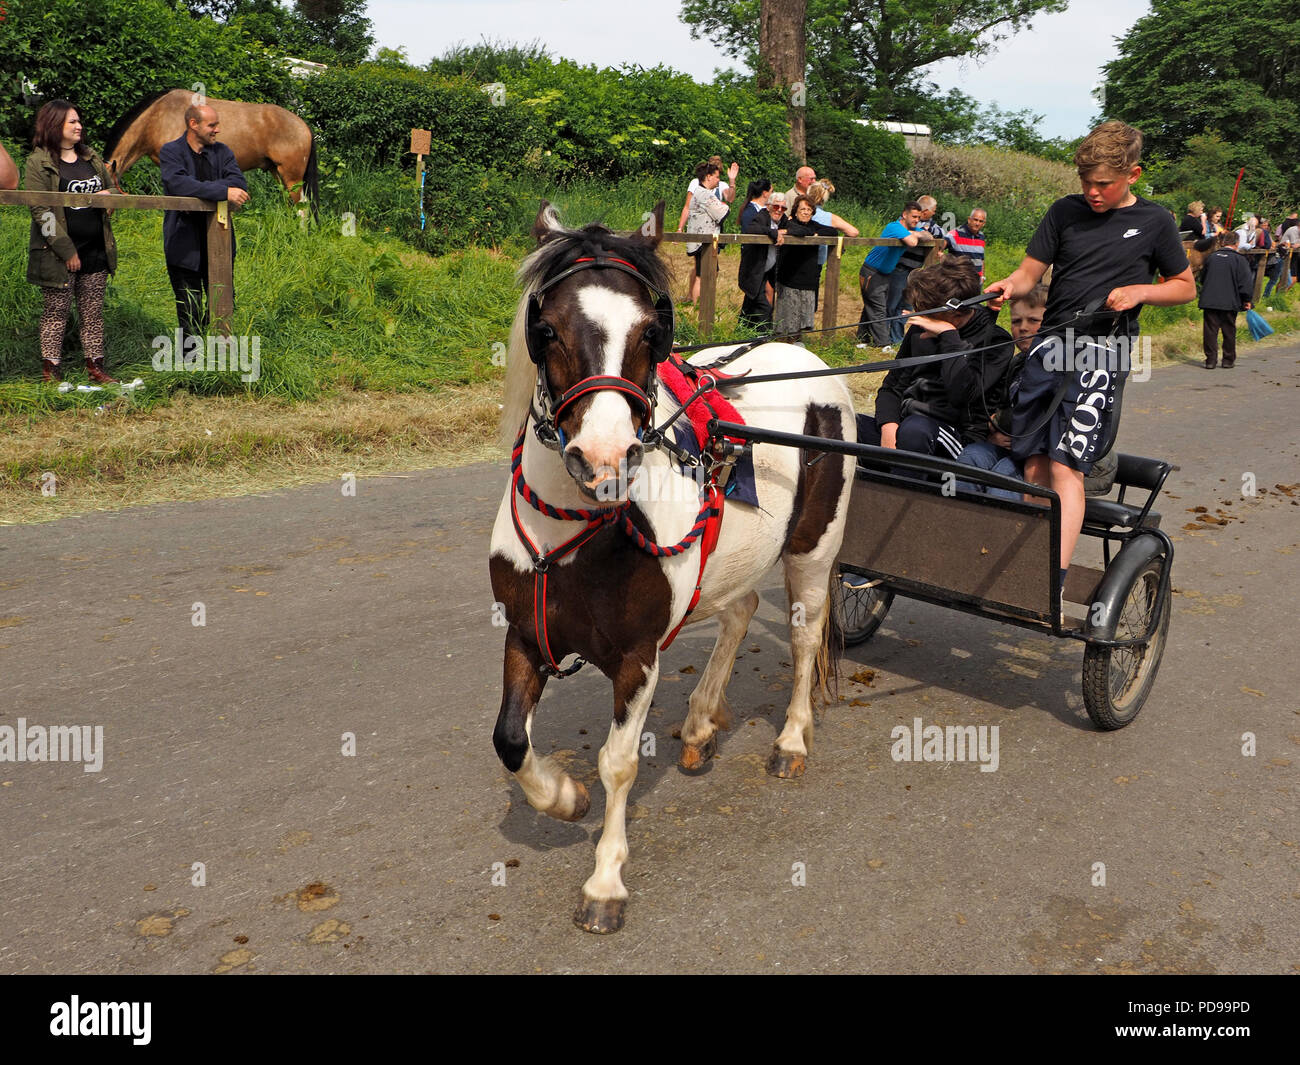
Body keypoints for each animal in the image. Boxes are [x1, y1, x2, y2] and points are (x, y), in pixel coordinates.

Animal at [488, 200, 857, 933]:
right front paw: (562, 796)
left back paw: (791, 740)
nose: (605, 457)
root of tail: (806, 356)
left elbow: (619, 763)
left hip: (812, 550)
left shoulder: (637, 656)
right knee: (740, 611)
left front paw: (605, 880)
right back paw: (701, 720)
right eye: (547, 329)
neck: (573, 533)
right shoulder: (524, 632)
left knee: (804, 638)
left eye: (651, 332)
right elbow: (511, 739)